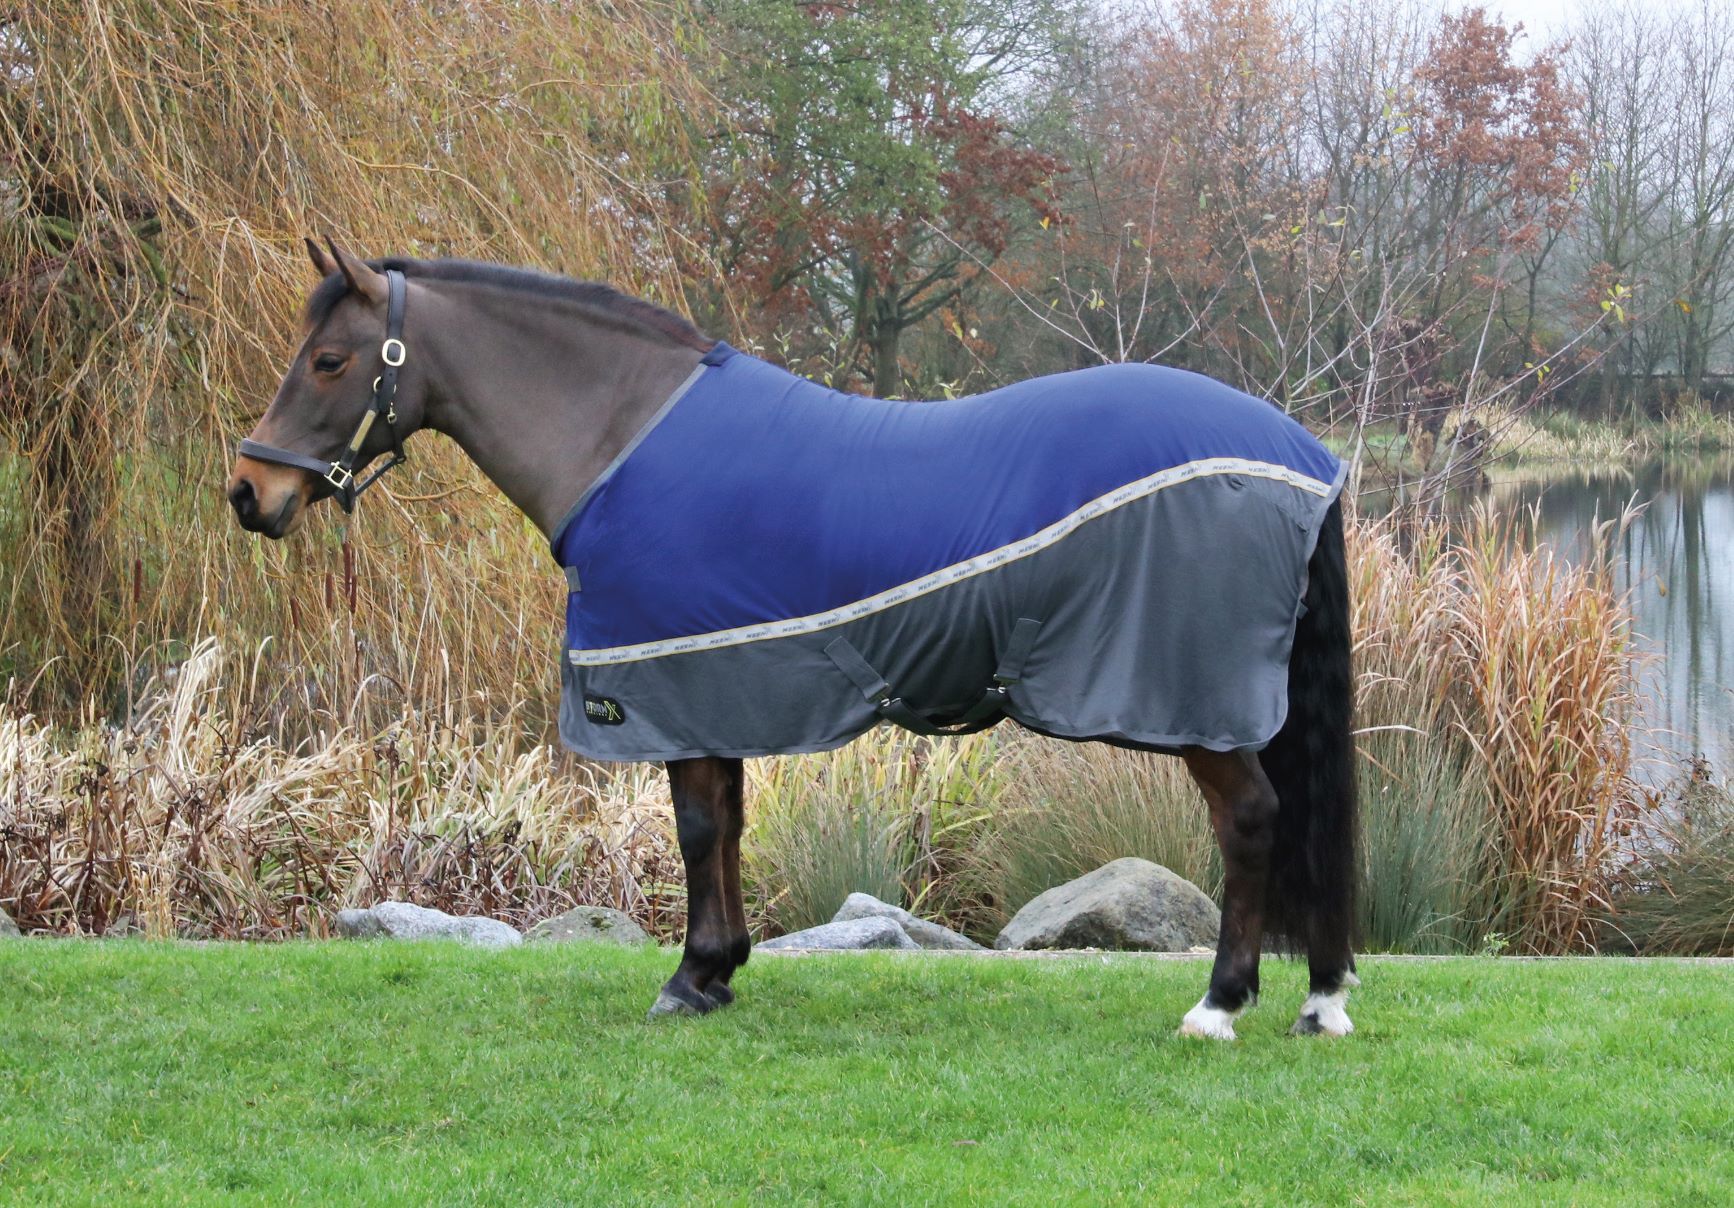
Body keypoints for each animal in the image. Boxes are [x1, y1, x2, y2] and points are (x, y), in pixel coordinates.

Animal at [228, 239, 1359, 1040]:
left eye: (329, 360)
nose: (250, 492)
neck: (621, 439)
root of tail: (1302, 453)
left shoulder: (667, 685)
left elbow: (695, 828)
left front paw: (690, 977)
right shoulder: (713, 683)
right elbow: (726, 825)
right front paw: (721, 967)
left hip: (1196, 707)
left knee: (1253, 821)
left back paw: (1219, 1003)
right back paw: (1318, 997)